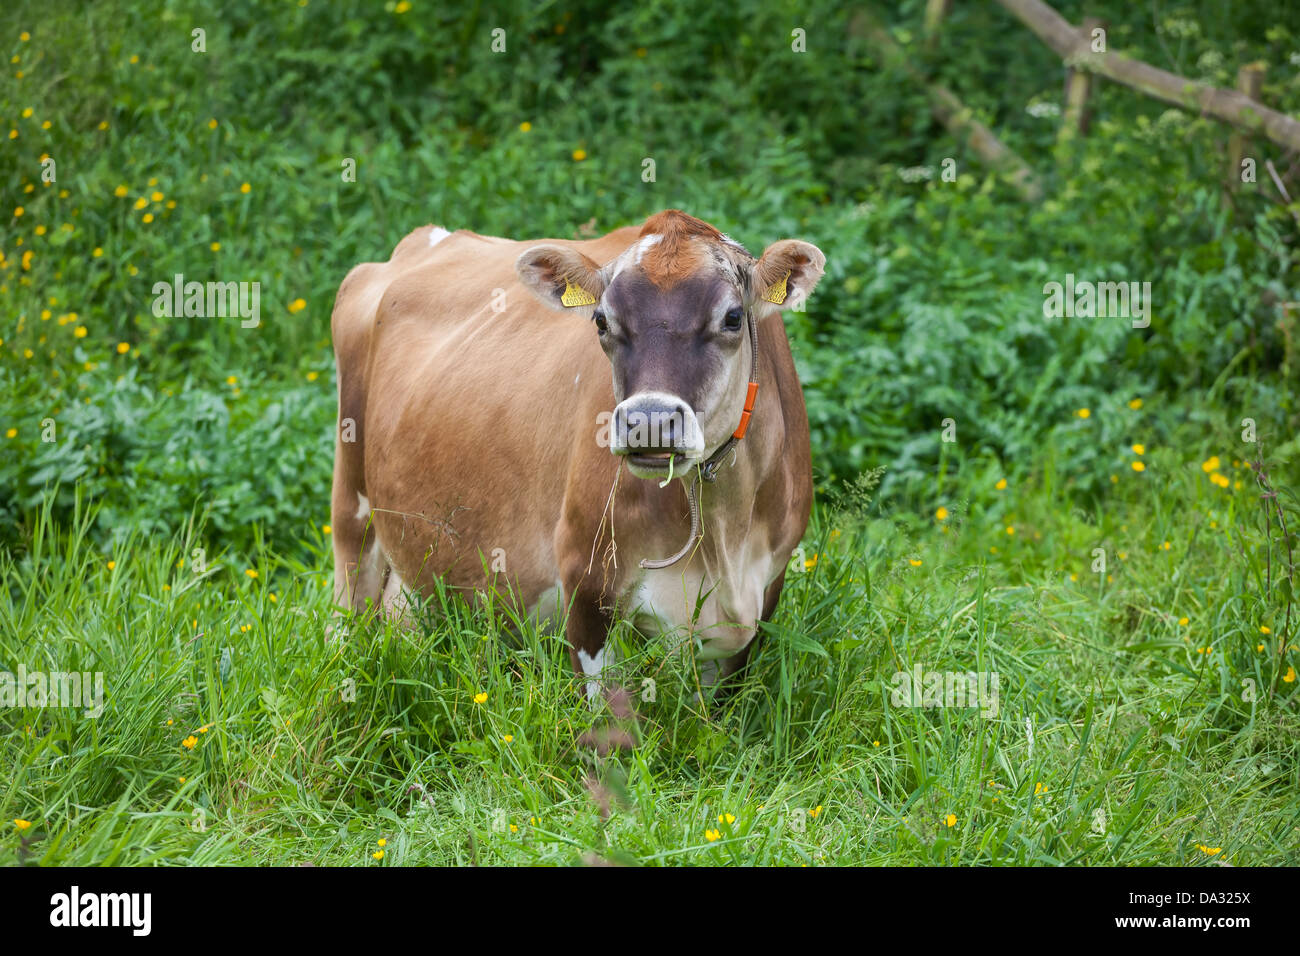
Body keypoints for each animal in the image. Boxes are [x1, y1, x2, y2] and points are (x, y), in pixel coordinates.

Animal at [330, 210, 824, 699]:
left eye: (733, 317)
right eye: (602, 321)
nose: (649, 421)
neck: (725, 538)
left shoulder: (765, 593)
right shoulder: (587, 581)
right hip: (352, 503)